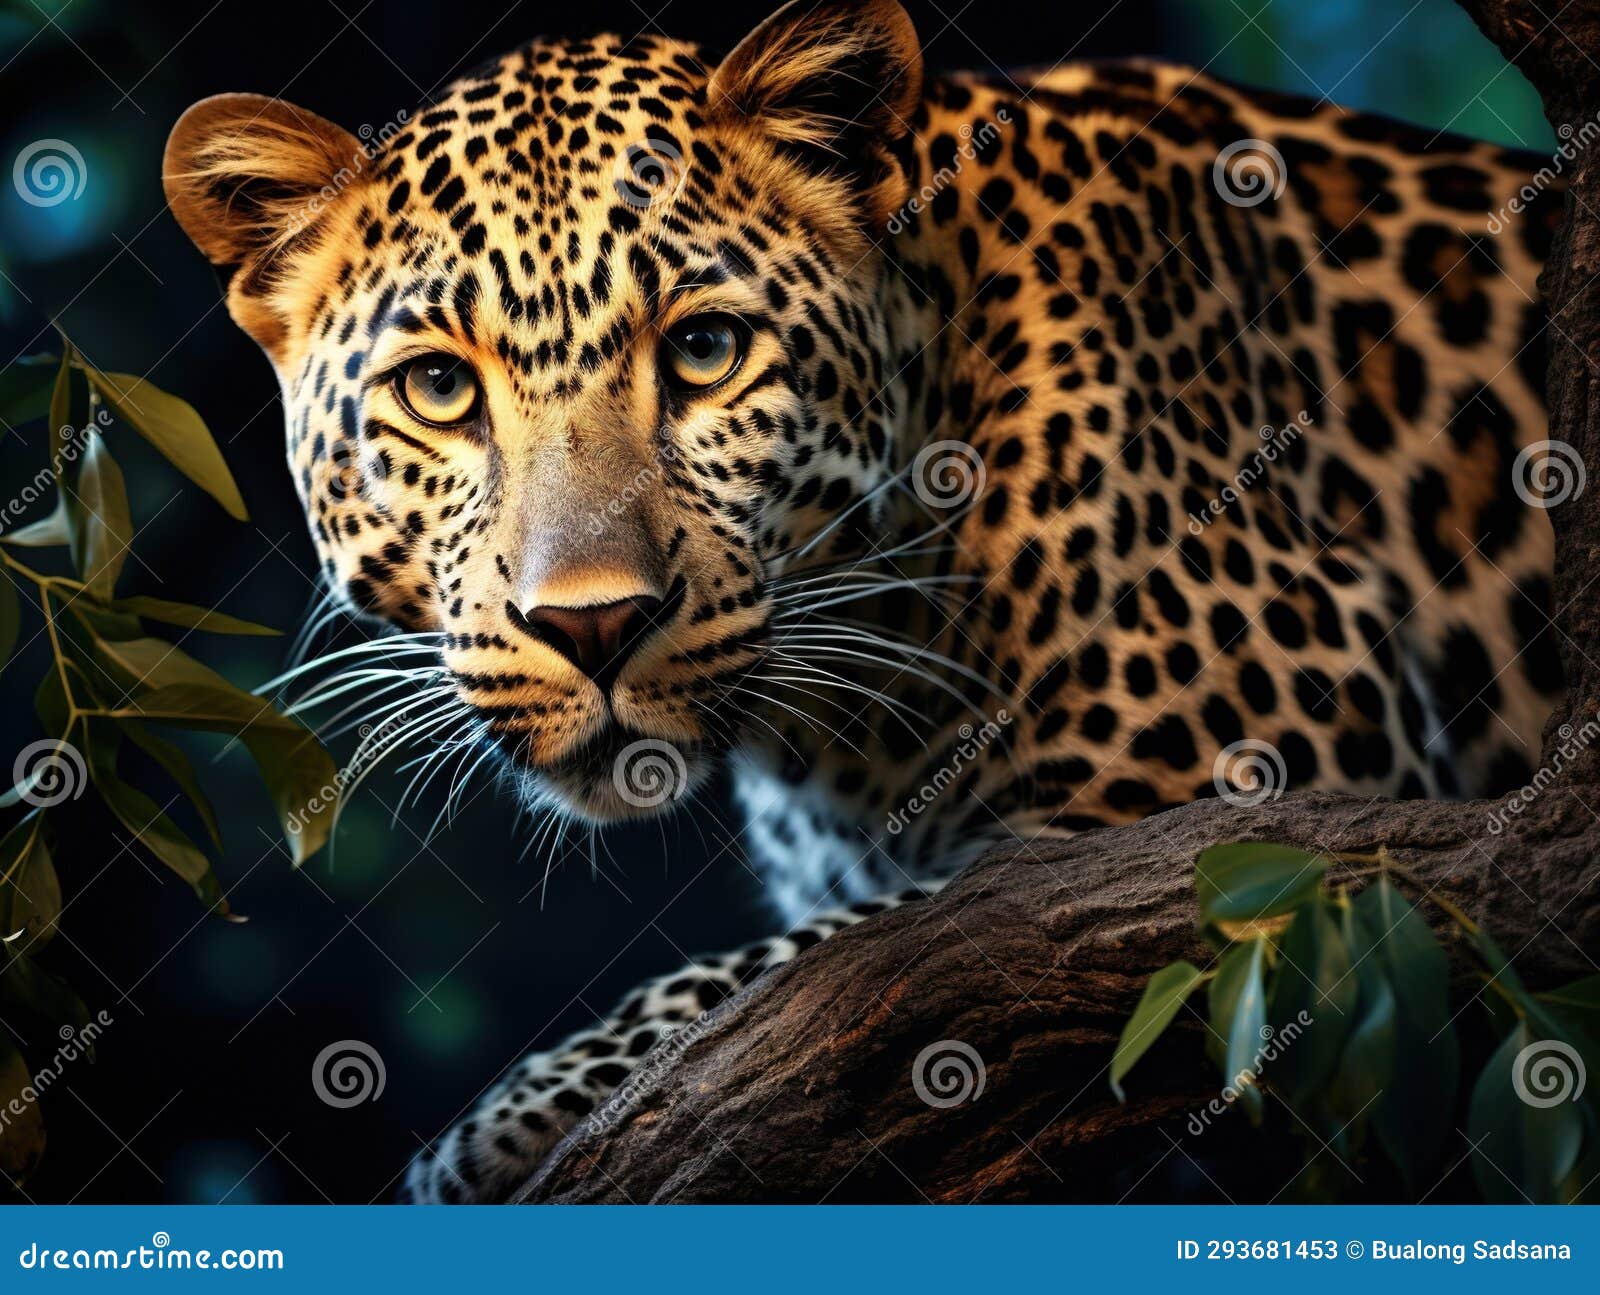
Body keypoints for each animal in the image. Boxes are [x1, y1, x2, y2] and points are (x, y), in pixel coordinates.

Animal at [162, 0, 1566, 1203]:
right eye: (440, 388)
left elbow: (836, 947)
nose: (591, 623)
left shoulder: (1274, 789)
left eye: (705, 351)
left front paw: (506, 1118)